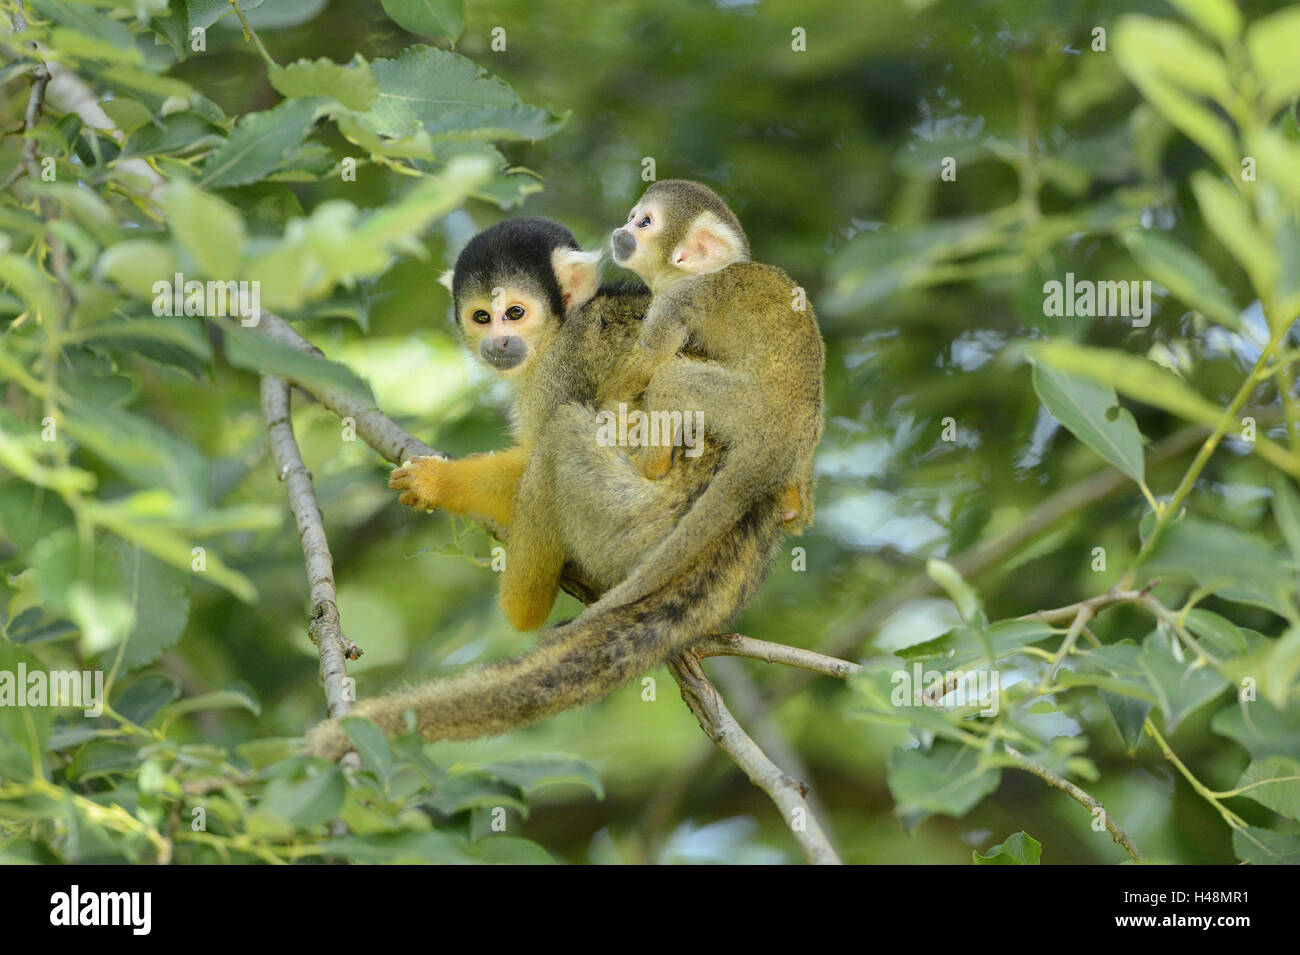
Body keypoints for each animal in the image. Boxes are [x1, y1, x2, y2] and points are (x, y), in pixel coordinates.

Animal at [303, 211, 820, 760]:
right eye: (481, 317)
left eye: (514, 312)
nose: (497, 343)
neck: (561, 328)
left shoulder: (559, 367)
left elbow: (541, 447)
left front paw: (439, 481)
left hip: (628, 528)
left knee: (560, 437)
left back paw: (523, 605)